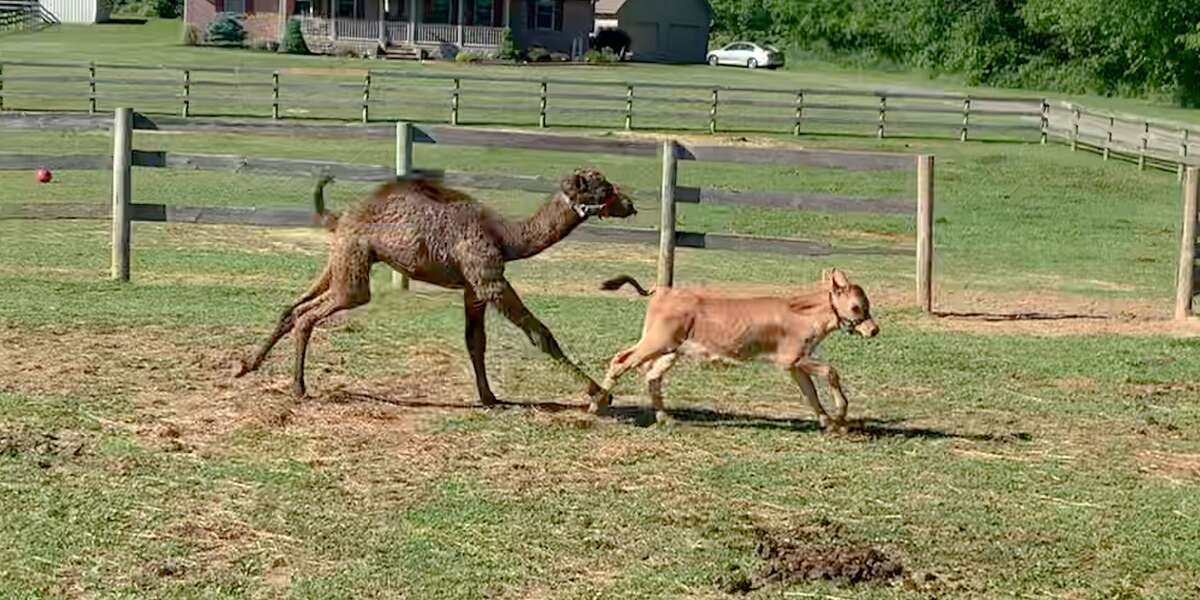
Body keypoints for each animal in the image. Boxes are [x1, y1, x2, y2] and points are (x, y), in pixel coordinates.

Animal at [235, 169, 637, 406]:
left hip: (340, 260)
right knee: (310, 314)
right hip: (353, 271)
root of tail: (339, 216)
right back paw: (299, 389)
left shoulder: (473, 288)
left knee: (293, 307)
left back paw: (248, 365)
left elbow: (475, 341)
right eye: (604, 188)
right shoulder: (489, 278)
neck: (508, 238)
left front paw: (489, 397)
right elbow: (540, 335)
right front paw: (601, 395)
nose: (630, 203)